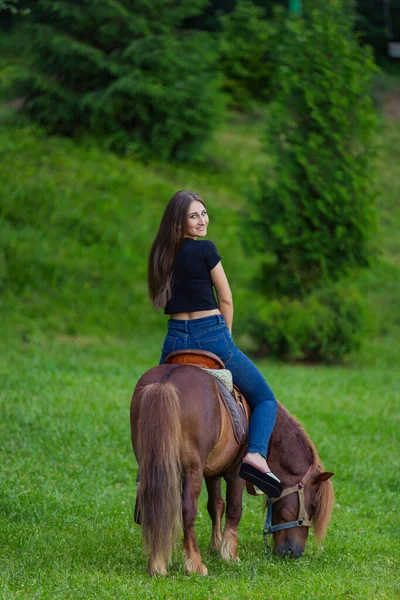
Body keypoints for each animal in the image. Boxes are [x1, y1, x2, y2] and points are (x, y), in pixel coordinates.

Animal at [130, 364, 332, 576]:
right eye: (312, 506)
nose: (295, 552)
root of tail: (166, 382)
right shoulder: (236, 473)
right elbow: (235, 509)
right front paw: (230, 554)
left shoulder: (212, 471)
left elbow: (216, 505)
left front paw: (216, 544)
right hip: (192, 470)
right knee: (187, 510)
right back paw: (195, 564)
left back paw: (157, 563)